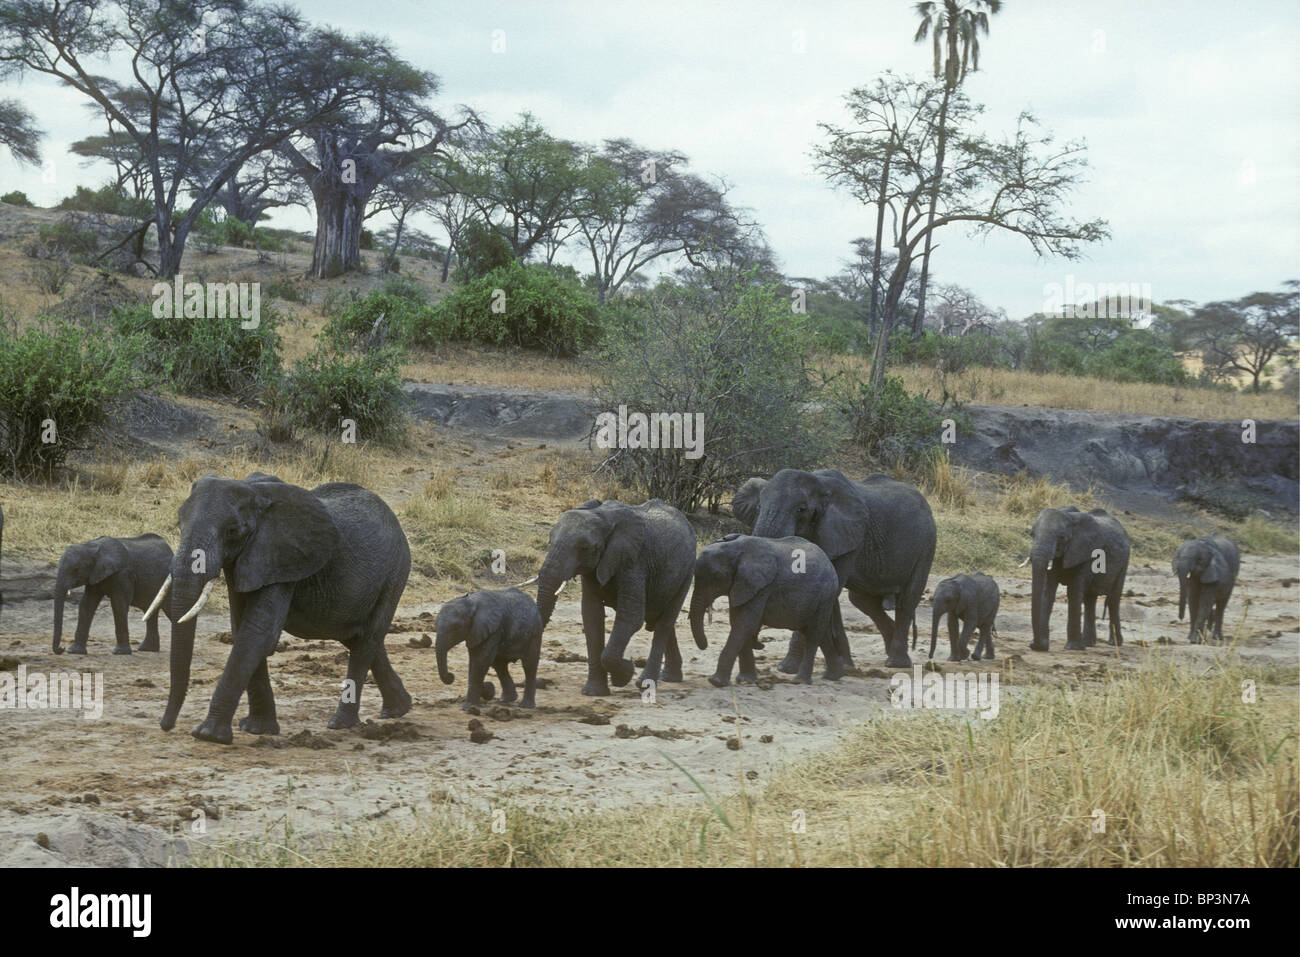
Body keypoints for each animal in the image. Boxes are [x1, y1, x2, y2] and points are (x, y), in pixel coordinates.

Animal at [157, 473, 413, 744]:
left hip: (394, 572)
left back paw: (341, 724)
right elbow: (241, 629)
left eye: (232, 531)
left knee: (367, 639)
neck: (256, 495)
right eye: (179, 522)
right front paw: (256, 729)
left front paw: (209, 735)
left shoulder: (282, 560)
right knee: (359, 637)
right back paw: (398, 709)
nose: (166, 726)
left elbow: (257, 632)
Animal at [535, 498, 695, 696]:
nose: (540, 682)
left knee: (664, 623)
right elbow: (591, 616)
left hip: (687, 571)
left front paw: (624, 675)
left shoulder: (633, 562)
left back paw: (645, 684)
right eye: (549, 541)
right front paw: (594, 692)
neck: (602, 515)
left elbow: (631, 617)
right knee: (660, 620)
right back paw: (670, 678)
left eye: (584, 548)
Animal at [689, 533, 840, 686]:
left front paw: (716, 682)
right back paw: (833, 676)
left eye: (717, 577)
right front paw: (745, 680)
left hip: (826, 595)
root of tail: (829, 563)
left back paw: (801, 680)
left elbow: (744, 624)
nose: (705, 645)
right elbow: (740, 624)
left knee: (814, 635)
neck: (735, 548)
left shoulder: (762, 586)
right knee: (822, 635)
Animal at [734, 470, 936, 670]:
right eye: (758, 508)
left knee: (908, 598)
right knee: (862, 600)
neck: (820, 485)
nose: (759, 644)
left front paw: (787, 668)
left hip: (926, 545)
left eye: (801, 510)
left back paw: (896, 663)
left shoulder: (849, 536)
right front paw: (843, 666)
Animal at [1027, 506, 1130, 651]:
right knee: (1090, 599)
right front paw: (1040, 646)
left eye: (1062, 537)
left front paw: (1073, 648)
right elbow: (1047, 592)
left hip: (1124, 562)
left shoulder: (1086, 553)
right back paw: (1088, 643)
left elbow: (1074, 592)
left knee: (1113, 600)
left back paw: (1114, 643)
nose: (1035, 645)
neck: (1070, 518)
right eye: (1032, 534)